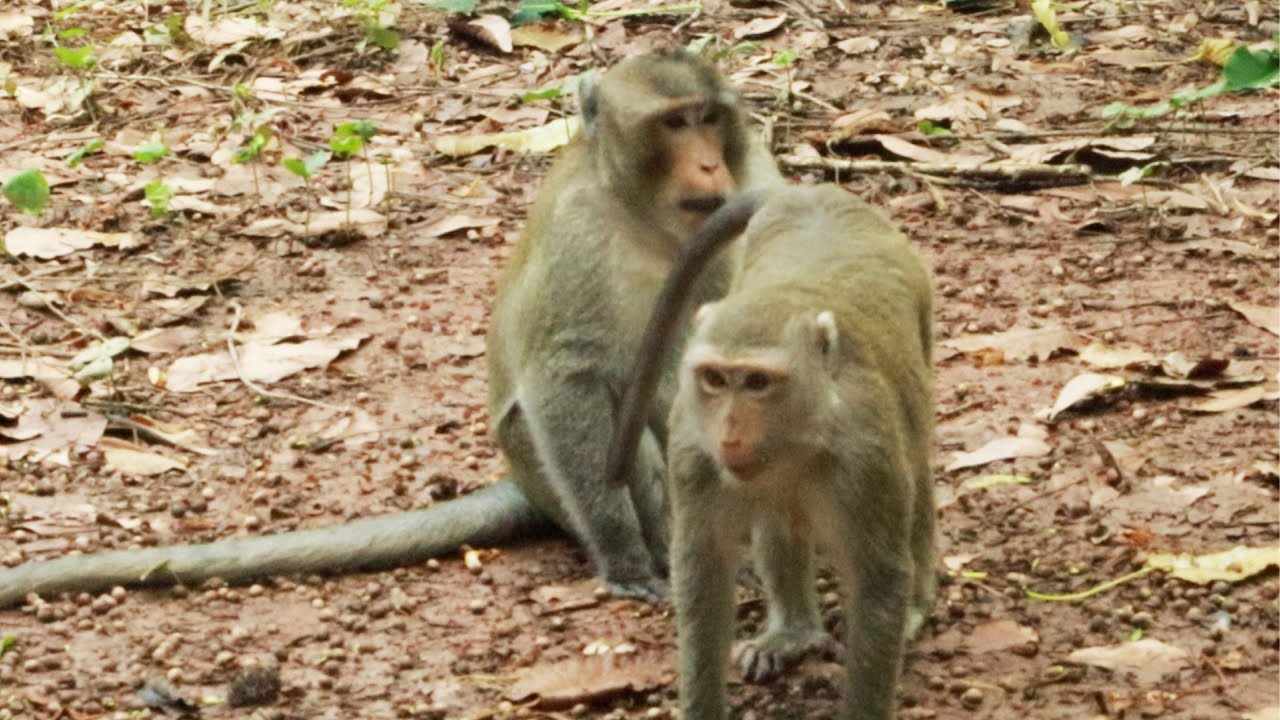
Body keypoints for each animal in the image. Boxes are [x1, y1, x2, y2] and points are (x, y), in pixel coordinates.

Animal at [0, 50, 781, 609]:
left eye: (710, 117)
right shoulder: (578, 231)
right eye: (674, 124)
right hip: (540, 466)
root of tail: (521, 485)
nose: (709, 161)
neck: (646, 214)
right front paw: (623, 555)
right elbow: (570, 378)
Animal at [607, 184, 935, 719]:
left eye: (758, 383)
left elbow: (878, 581)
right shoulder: (693, 449)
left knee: (919, 468)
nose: (730, 433)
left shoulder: (867, 455)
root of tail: (810, 191)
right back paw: (793, 632)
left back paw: (917, 603)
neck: (798, 440)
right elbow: (703, 569)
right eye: (715, 379)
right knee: (779, 515)